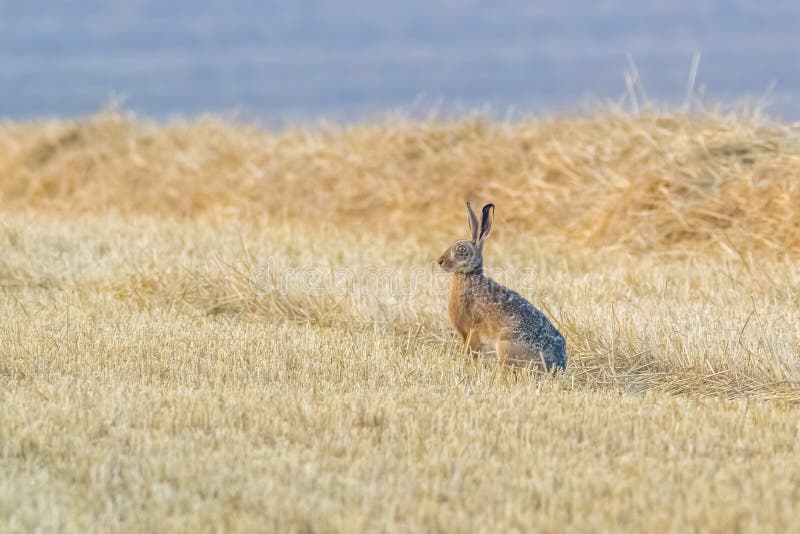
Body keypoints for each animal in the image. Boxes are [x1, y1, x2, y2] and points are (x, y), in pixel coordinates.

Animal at [437, 201, 567, 372]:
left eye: (461, 249)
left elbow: (472, 350)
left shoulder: (471, 329)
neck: (469, 276)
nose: (439, 261)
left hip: (504, 346)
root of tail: (558, 367)